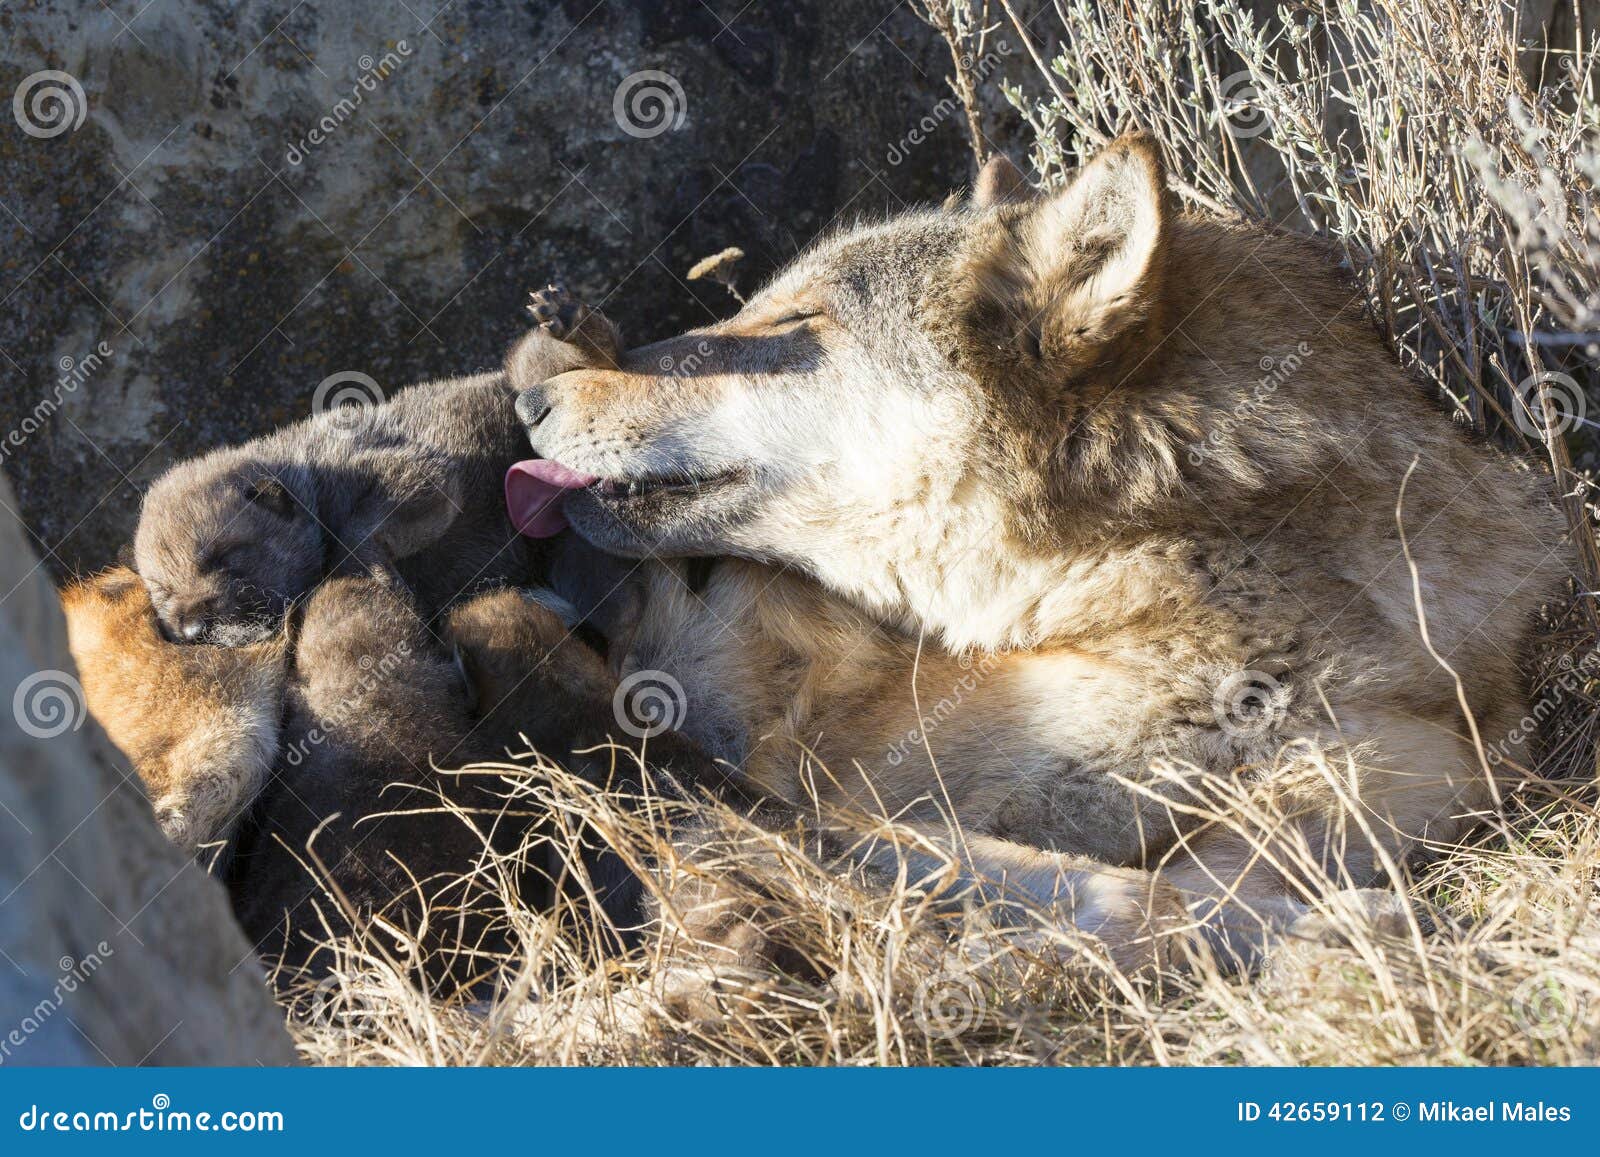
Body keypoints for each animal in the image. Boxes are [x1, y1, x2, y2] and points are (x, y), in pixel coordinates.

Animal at [509, 136, 1569, 970]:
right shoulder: (832, 781)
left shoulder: (1418, 776)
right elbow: (1106, 887)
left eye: (790, 323)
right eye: (746, 309)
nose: (528, 400)